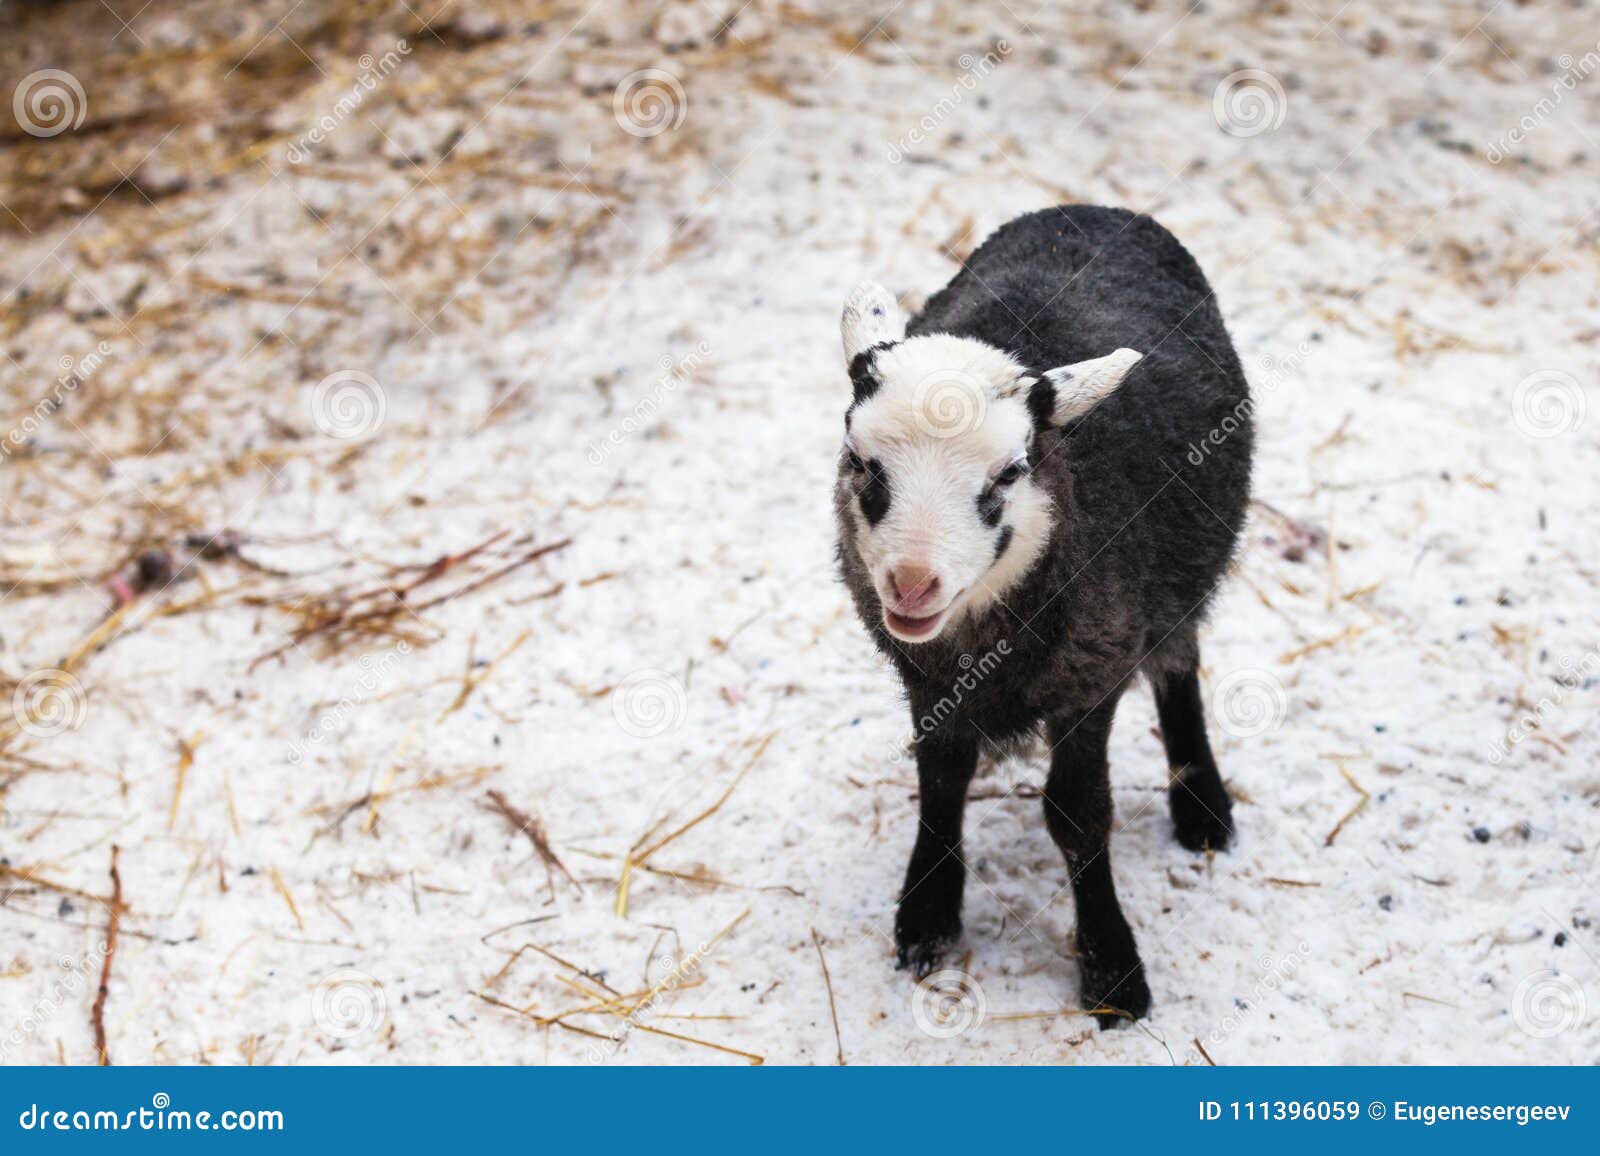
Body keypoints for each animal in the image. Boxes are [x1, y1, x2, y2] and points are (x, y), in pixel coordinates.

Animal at [834, 204, 1253, 1025]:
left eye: (1009, 473)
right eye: (863, 463)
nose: (912, 585)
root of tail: (1092, 208)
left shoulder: (1092, 672)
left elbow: (1077, 813)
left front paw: (1113, 969)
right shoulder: (926, 679)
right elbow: (942, 780)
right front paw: (927, 913)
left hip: (1183, 575)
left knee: (1179, 659)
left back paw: (1201, 806)